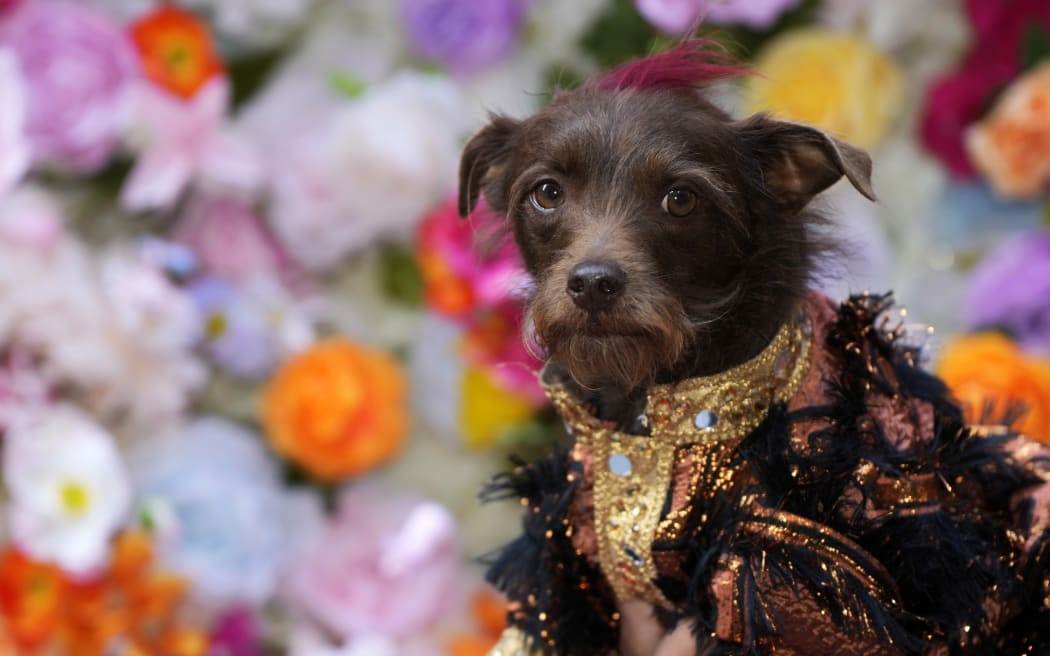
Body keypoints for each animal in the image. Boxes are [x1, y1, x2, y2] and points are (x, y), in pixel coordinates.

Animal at [464, 39, 1050, 654]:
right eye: (547, 193)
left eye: (681, 199)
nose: (594, 283)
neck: (653, 412)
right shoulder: (567, 567)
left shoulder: (794, 572)